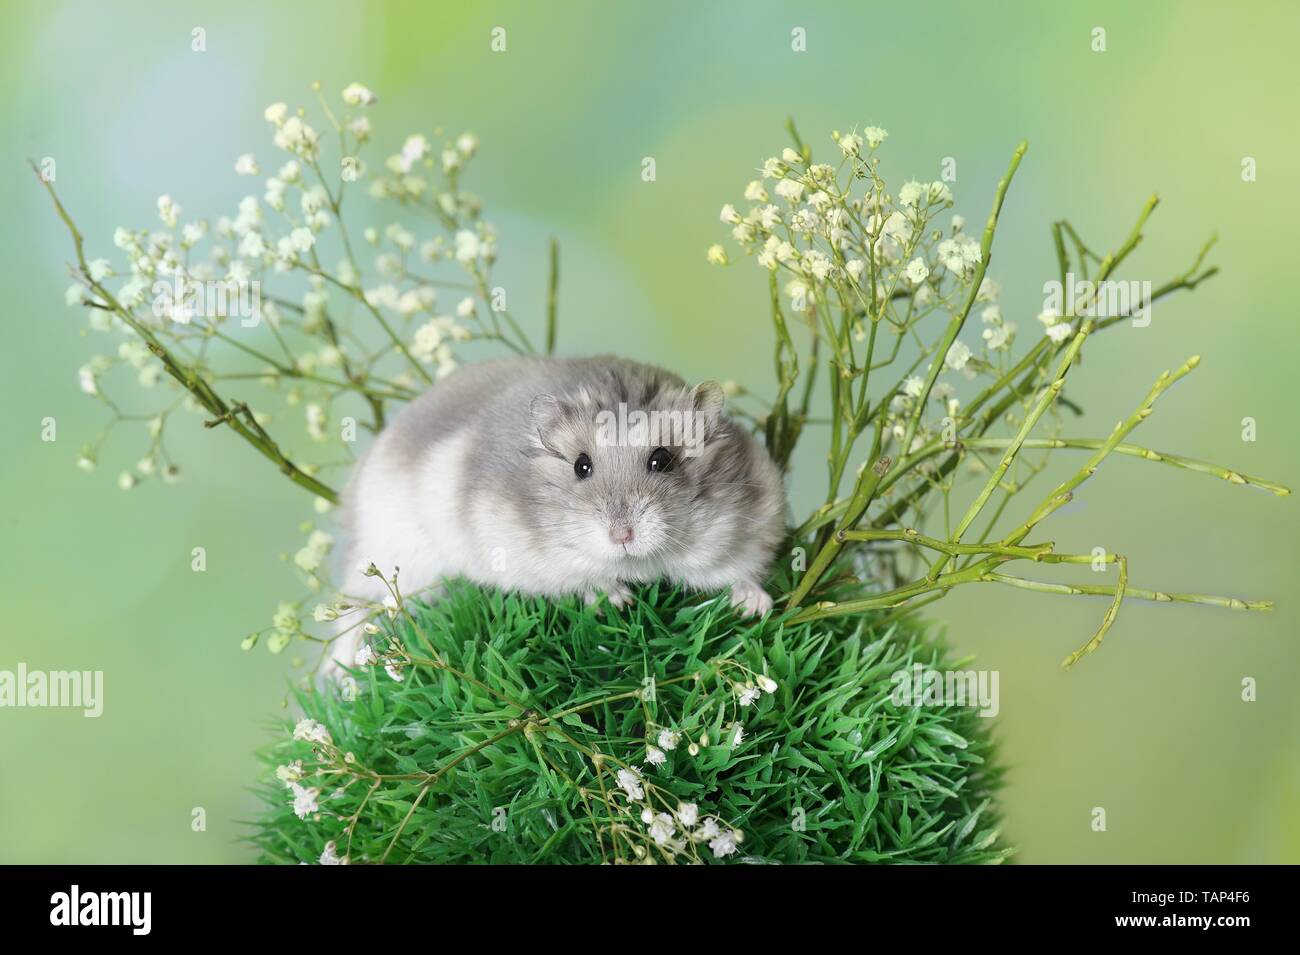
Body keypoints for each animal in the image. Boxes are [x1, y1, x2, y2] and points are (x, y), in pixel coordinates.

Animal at [333, 356, 786, 664]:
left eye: (663, 460)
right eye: (581, 466)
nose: (622, 536)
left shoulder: (750, 528)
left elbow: (739, 573)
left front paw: (756, 606)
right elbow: (580, 578)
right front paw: (617, 599)